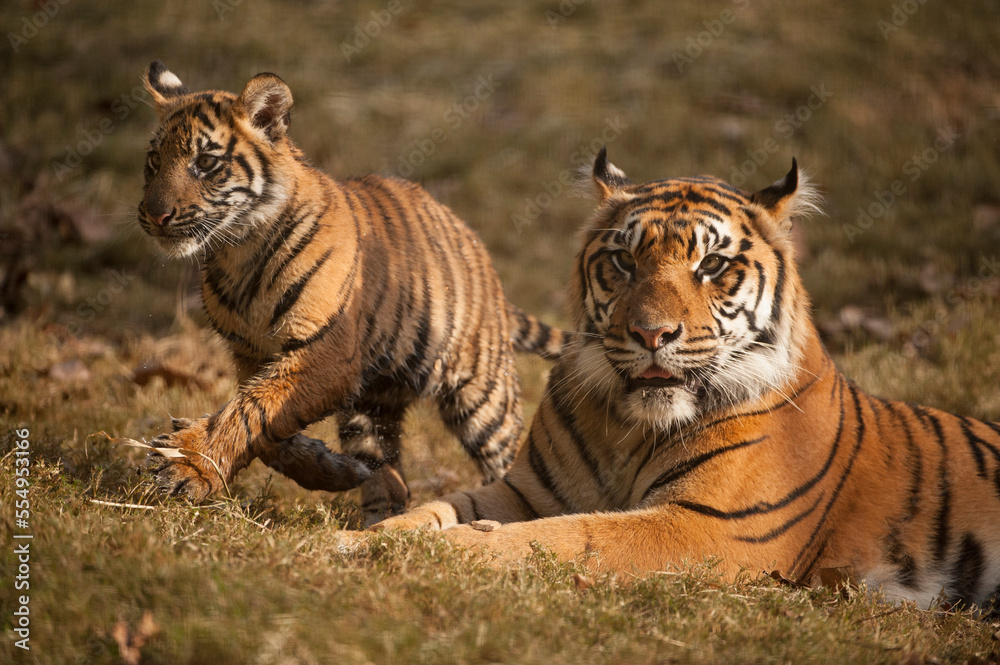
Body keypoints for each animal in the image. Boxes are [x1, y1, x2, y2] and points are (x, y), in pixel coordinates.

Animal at [136, 61, 565, 524]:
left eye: (206, 162)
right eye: (154, 161)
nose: (155, 216)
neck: (237, 252)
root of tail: (480, 253)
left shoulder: (325, 354)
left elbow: (252, 410)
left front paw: (186, 466)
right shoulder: (251, 354)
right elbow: (265, 426)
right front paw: (331, 470)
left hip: (483, 399)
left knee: (508, 459)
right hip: (371, 410)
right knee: (389, 475)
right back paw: (378, 517)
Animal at [344, 148, 1000, 611]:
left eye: (712, 264)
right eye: (623, 260)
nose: (651, 333)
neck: (626, 428)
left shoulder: (704, 527)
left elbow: (569, 537)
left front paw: (442, 550)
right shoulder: (525, 491)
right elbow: (437, 507)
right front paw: (363, 540)